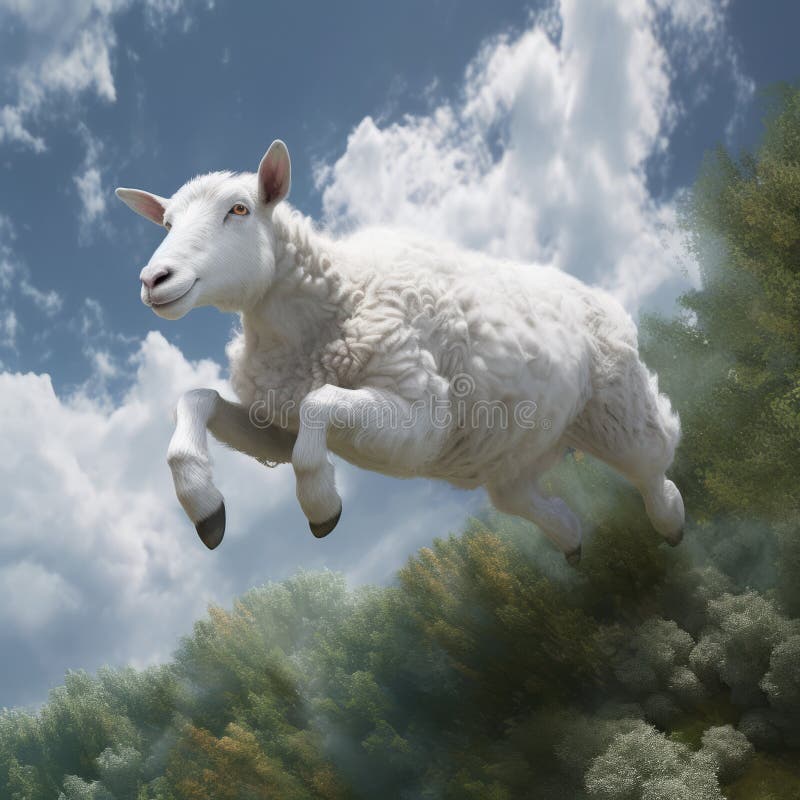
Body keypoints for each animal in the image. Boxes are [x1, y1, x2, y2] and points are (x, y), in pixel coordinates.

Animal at [115, 140, 685, 563]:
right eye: (167, 223)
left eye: (240, 209)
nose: (152, 280)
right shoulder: (276, 424)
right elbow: (197, 401)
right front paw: (206, 509)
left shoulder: (421, 422)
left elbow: (320, 404)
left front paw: (321, 505)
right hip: (511, 444)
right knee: (519, 496)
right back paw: (570, 538)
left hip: (615, 402)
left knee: (651, 463)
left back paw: (672, 521)